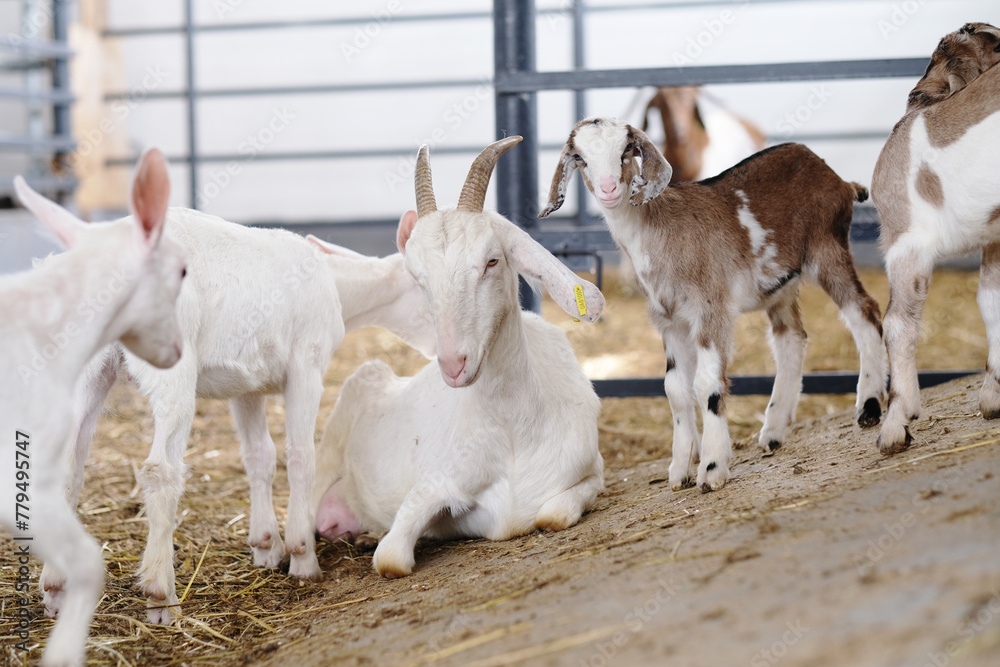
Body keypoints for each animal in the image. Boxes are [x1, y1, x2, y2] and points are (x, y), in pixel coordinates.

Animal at [39, 211, 437, 624]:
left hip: (84, 366)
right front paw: (302, 556)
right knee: (160, 471)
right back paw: (161, 595)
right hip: (172, 362)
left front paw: (266, 547)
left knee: (66, 469)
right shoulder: (307, 366)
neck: (338, 287)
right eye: (424, 287)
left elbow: (260, 456)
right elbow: (301, 457)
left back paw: (56, 589)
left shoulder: (246, 384)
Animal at [310, 136, 606, 578]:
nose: (452, 365)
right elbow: (391, 558)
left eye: (491, 260)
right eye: (418, 278)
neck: (512, 430)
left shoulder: (592, 472)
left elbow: (550, 516)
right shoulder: (434, 482)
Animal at [541, 118, 886, 493]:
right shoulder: (670, 321)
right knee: (792, 337)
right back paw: (774, 430)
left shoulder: (710, 309)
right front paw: (679, 469)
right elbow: (675, 389)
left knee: (864, 311)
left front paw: (711, 467)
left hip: (827, 247)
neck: (659, 229)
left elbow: (706, 384)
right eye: (580, 158)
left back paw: (869, 407)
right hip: (779, 285)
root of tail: (838, 180)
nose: (607, 189)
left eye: (626, 151)